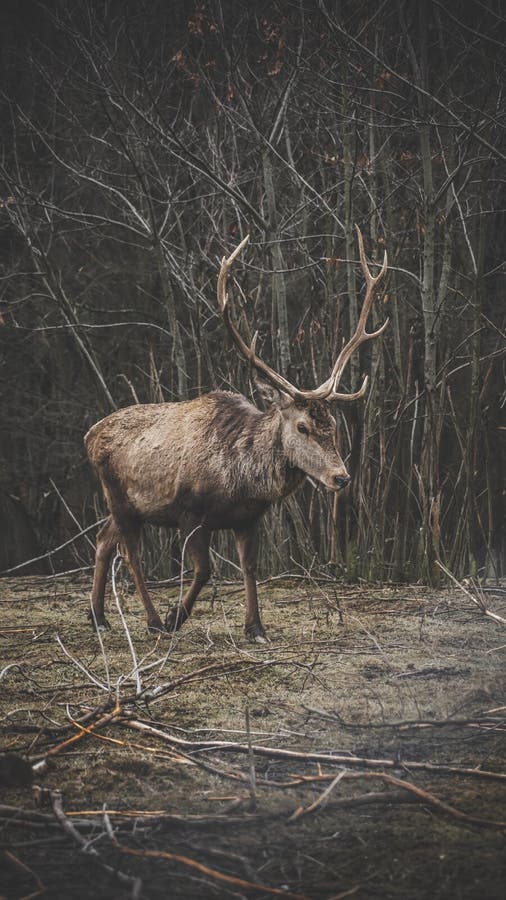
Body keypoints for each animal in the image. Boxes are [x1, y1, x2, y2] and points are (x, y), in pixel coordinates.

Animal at [85, 226, 388, 642]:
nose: (341, 477)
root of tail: (89, 435)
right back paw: (154, 622)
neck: (240, 481)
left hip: (126, 505)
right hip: (117, 495)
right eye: (303, 426)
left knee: (102, 540)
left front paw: (256, 627)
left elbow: (249, 568)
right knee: (130, 554)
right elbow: (204, 570)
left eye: (334, 425)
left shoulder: (248, 518)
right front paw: (177, 617)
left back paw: (98, 617)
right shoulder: (189, 512)